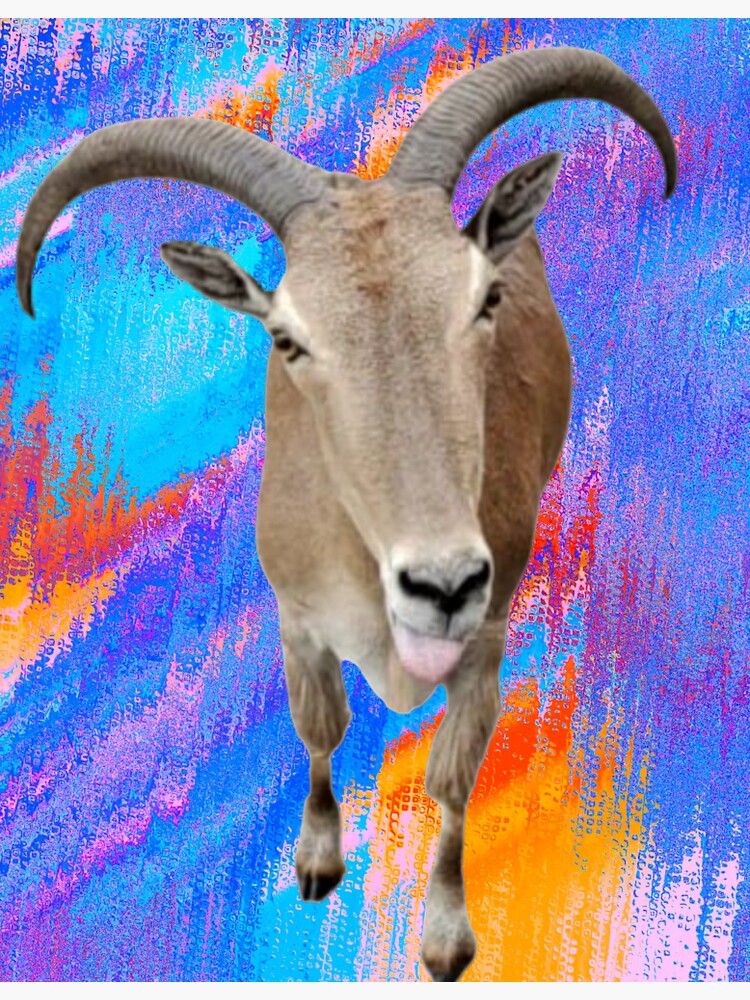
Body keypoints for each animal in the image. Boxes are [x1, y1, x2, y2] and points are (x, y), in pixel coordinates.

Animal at [16, 46, 676, 982]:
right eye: (287, 338)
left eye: (484, 300)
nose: (443, 585)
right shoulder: (297, 617)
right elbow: (320, 728)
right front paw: (317, 862)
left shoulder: (488, 637)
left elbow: (452, 777)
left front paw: (445, 941)